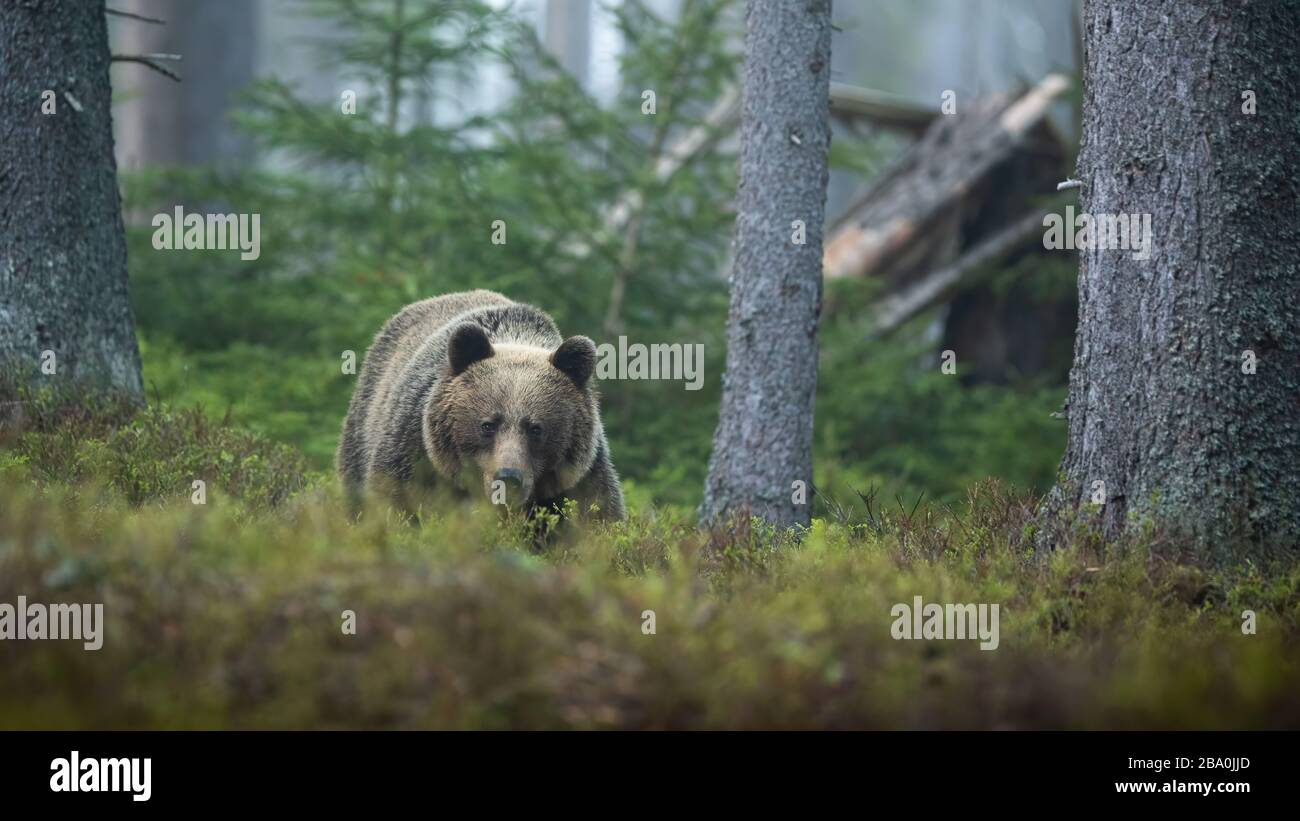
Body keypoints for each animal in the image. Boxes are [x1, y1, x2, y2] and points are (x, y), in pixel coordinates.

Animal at [337, 289, 625, 521]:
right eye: (487, 425)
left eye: (535, 428)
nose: (508, 478)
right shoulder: (415, 448)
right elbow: (396, 503)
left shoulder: (580, 475)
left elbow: (595, 515)